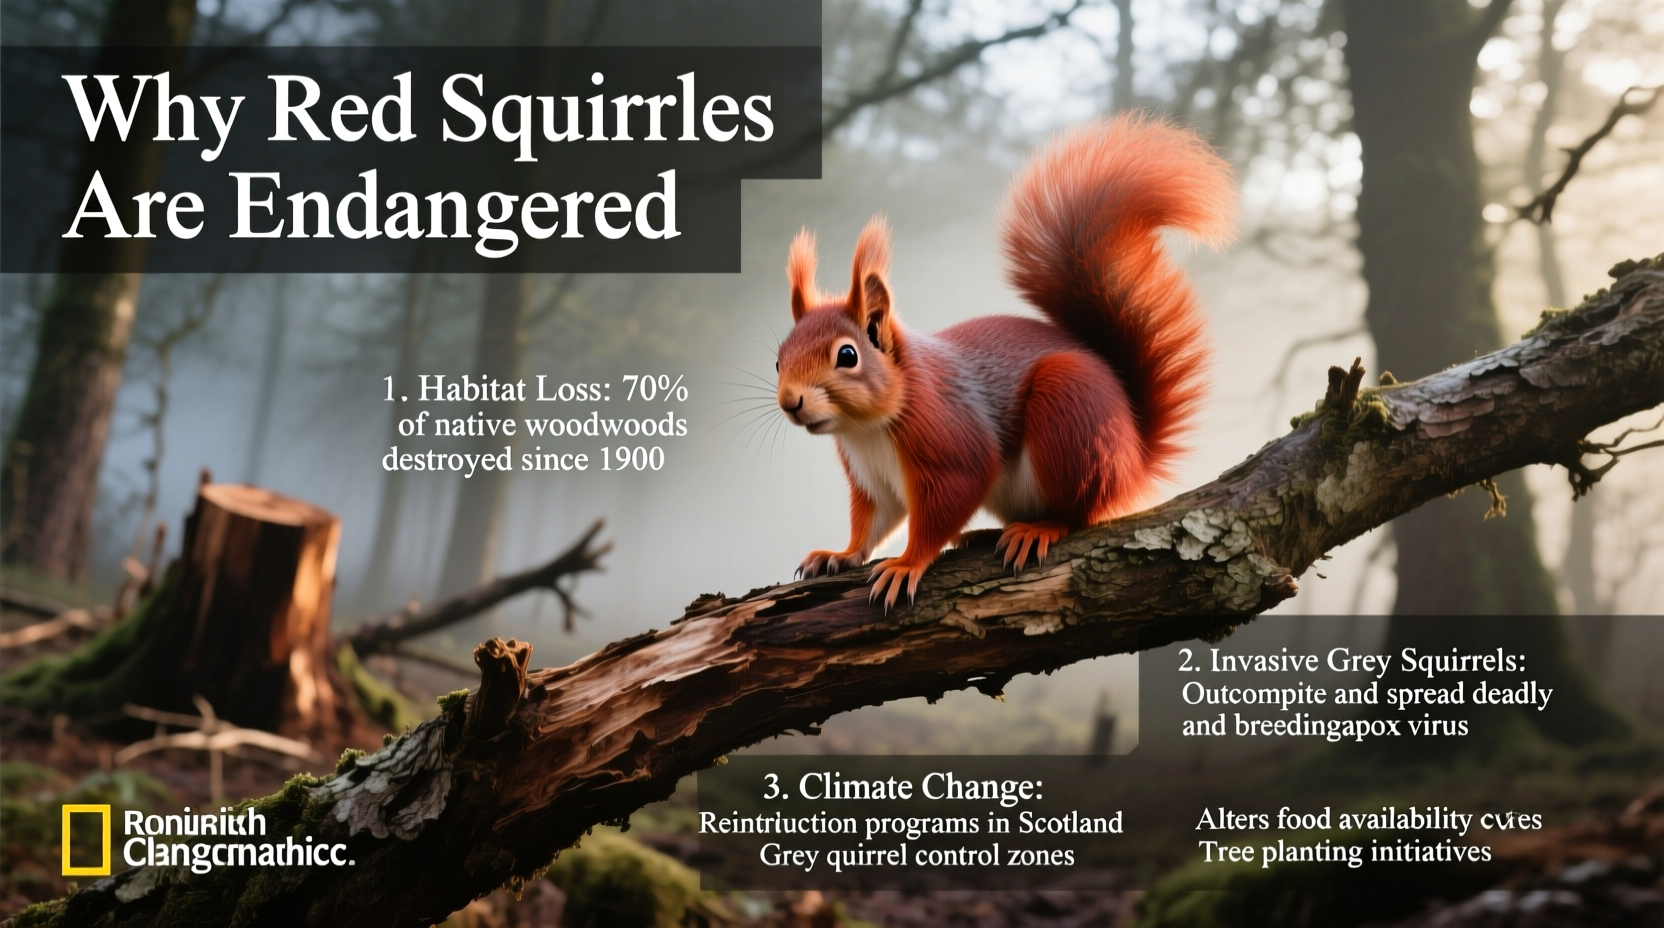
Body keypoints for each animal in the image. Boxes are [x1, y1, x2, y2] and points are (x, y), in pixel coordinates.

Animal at [774, 114, 1236, 609]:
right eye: (778, 360)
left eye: (847, 355)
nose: (789, 402)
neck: (868, 430)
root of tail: (1135, 460)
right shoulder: (871, 481)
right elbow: (873, 521)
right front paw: (839, 555)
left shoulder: (950, 438)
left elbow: (947, 502)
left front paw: (906, 564)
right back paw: (984, 534)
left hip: (1070, 416)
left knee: (1080, 512)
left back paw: (1038, 528)